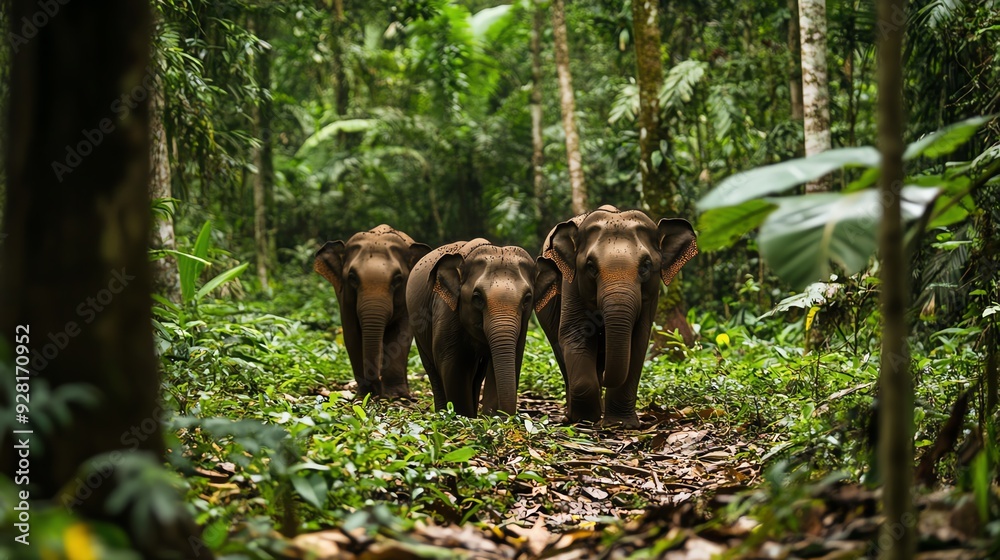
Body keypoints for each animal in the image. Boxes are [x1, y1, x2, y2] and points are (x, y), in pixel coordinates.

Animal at [314, 225, 431, 398]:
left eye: (397, 278)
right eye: (352, 277)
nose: (377, 390)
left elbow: (400, 335)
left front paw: (396, 395)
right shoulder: (344, 300)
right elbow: (352, 335)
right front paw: (365, 394)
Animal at [406, 239, 544, 417]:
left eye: (527, 298)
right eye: (477, 297)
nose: (505, 414)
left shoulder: (523, 325)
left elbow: (511, 360)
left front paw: (492, 418)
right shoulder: (447, 311)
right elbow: (453, 365)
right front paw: (463, 417)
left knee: (478, 375)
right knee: (433, 370)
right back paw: (443, 412)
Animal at [534, 205, 698, 428]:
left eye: (646, 265)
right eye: (591, 266)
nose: (603, 378)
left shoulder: (651, 296)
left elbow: (637, 342)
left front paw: (621, 424)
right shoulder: (572, 284)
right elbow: (575, 333)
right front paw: (586, 418)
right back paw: (571, 416)